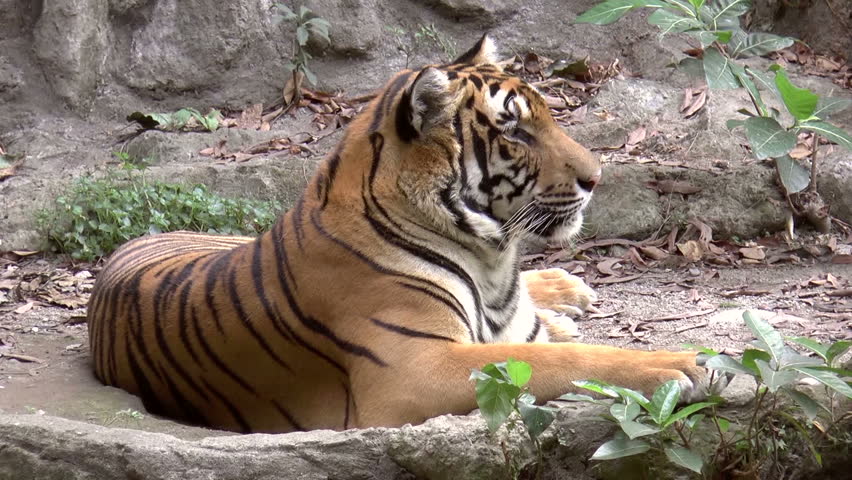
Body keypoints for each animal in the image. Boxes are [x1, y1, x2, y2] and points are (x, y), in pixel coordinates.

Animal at [87, 35, 722, 434]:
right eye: (515, 131)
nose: (597, 178)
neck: (493, 263)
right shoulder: (414, 369)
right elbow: (564, 360)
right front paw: (675, 365)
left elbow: (548, 346)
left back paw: (566, 289)